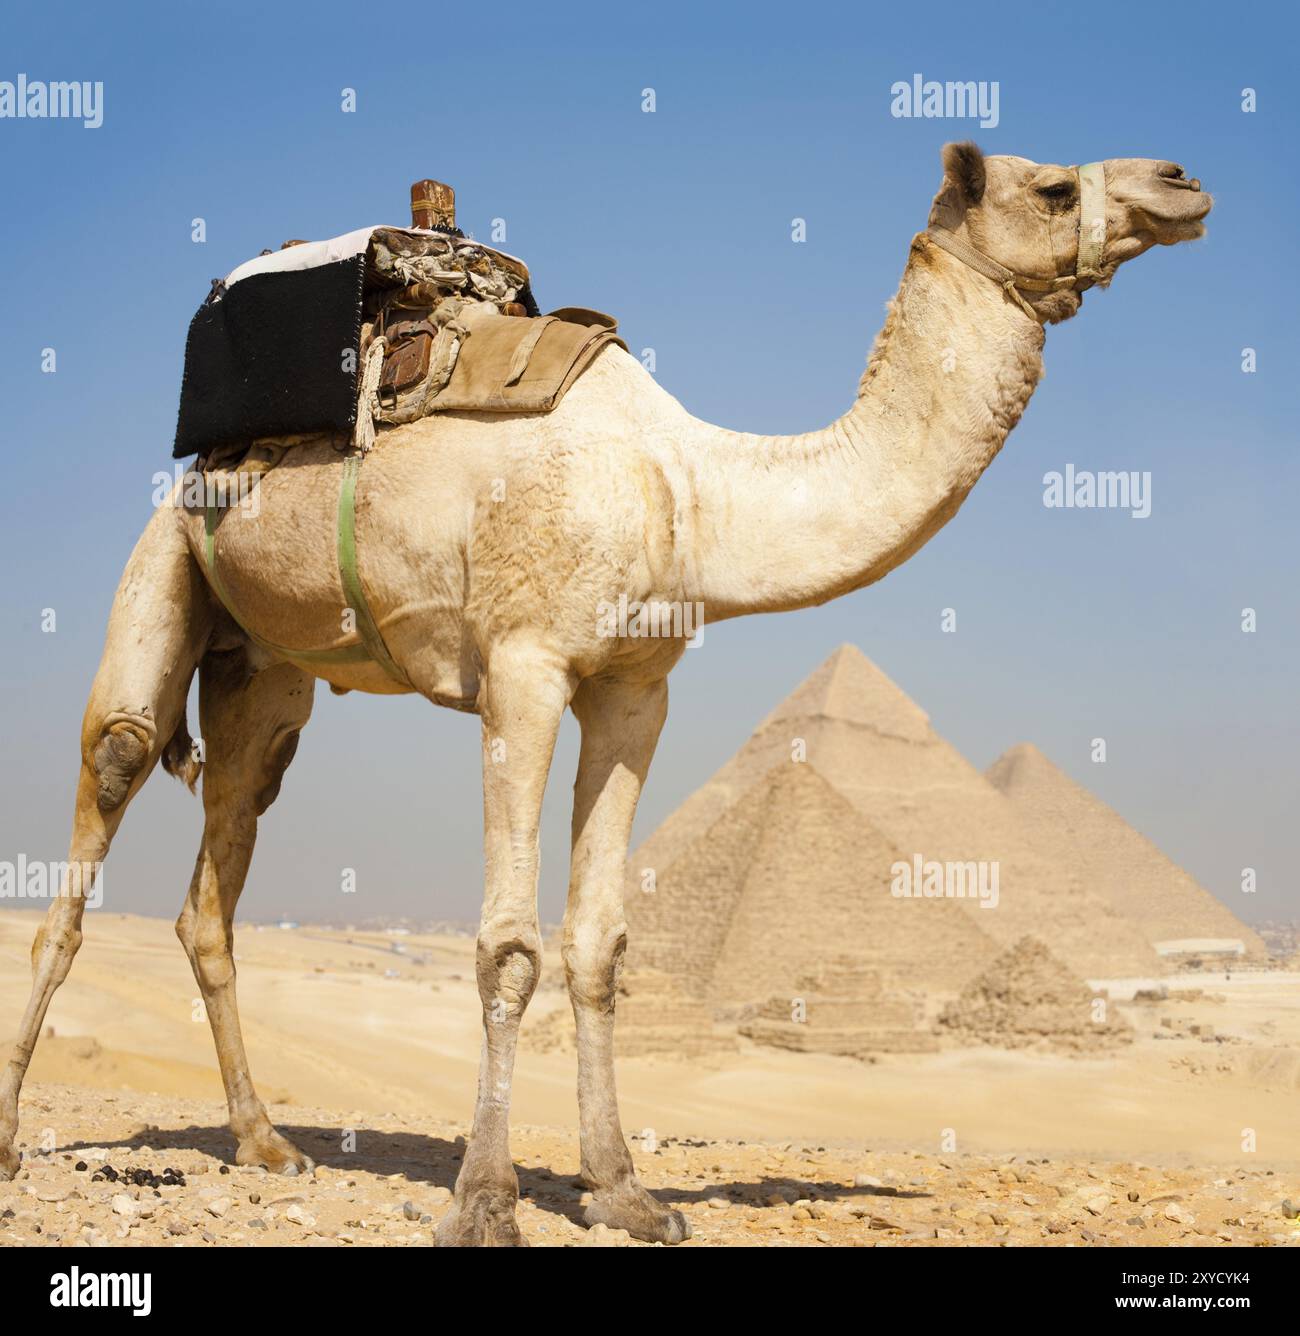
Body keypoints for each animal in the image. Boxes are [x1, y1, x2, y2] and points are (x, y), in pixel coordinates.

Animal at [0, 144, 1211, 1245]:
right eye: (1046, 186)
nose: (1180, 182)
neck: (690, 490)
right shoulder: (524, 668)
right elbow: (507, 943)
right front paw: (486, 1200)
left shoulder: (635, 690)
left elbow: (596, 943)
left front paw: (623, 1189)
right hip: (166, 554)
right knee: (106, 785)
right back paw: (16, 1135)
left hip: (264, 667)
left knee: (222, 860)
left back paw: (263, 1140)